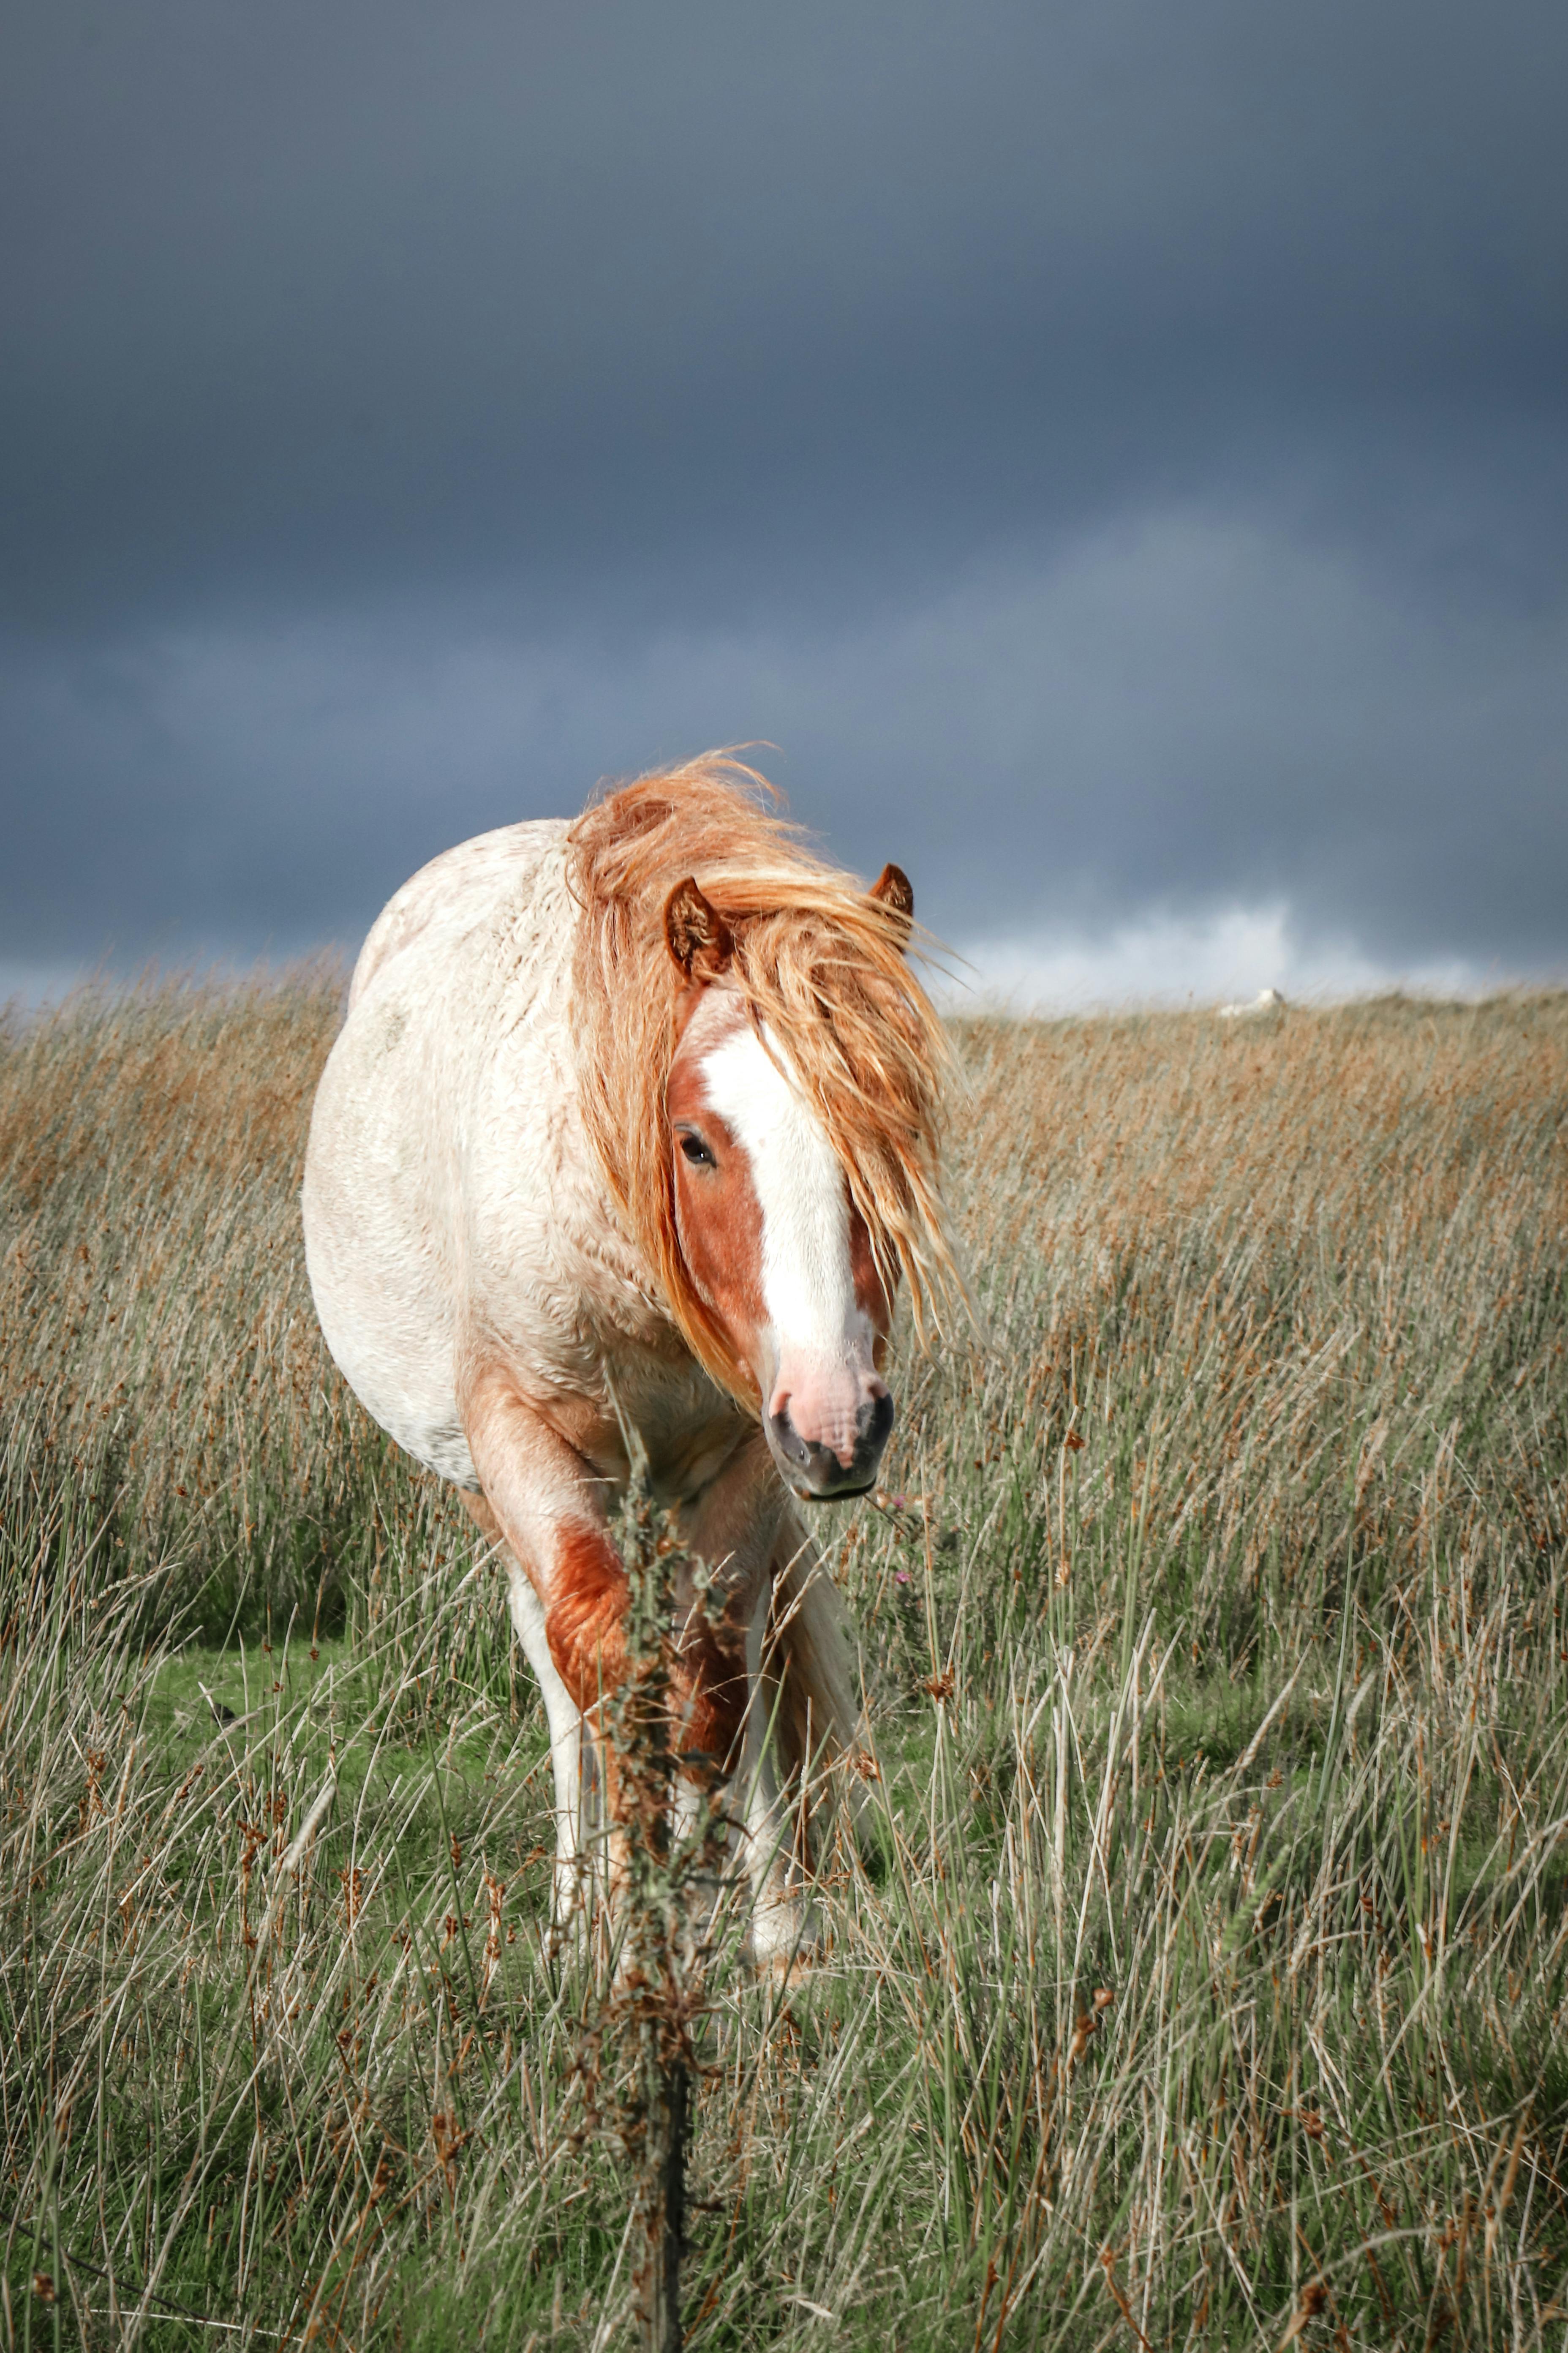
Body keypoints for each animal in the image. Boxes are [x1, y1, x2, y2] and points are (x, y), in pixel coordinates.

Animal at [301, 757, 959, 1961]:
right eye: (695, 1141)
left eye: (892, 1131)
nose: (840, 1426)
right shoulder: (525, 1446)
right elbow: (605, 1675)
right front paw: (624, 1928)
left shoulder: (746, 1457)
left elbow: (716, 1685)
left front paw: (736, 1923)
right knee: (560, 1665)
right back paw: (576, 1904)